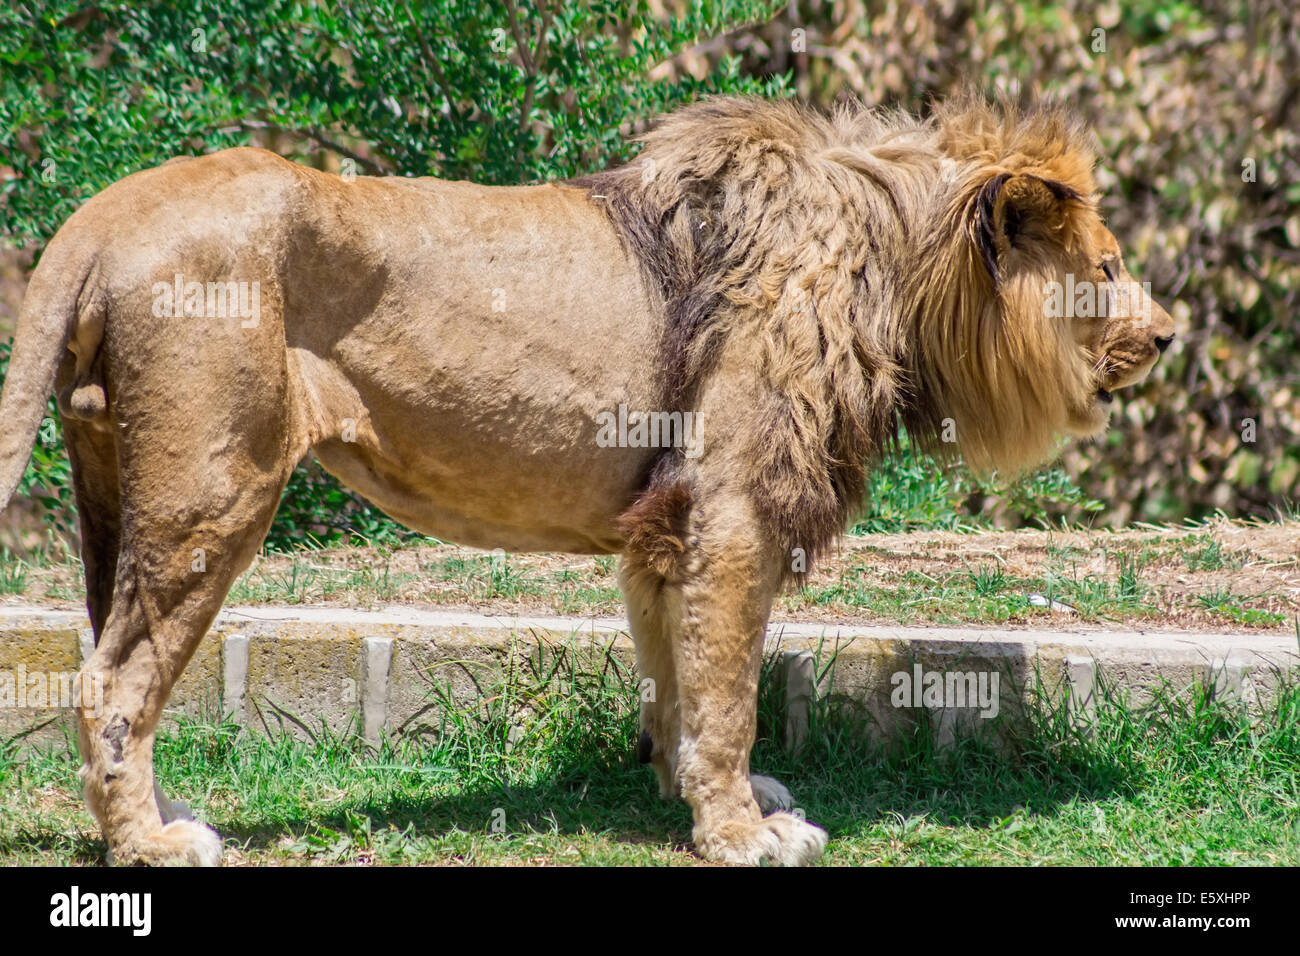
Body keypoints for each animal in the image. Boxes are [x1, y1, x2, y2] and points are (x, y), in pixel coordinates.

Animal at [0, 93, 1173, 866]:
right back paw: (155, 843)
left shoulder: (668, 526)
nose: (1165, 334)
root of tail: (99, 214)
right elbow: (731, 692)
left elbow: (679, 681)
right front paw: (745, 832)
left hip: (117, 490)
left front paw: (696, 795)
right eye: (1109, 269)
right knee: (111, 679)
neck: (897, 265)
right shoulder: (733, 512)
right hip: (216, 492)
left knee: (107, 655)